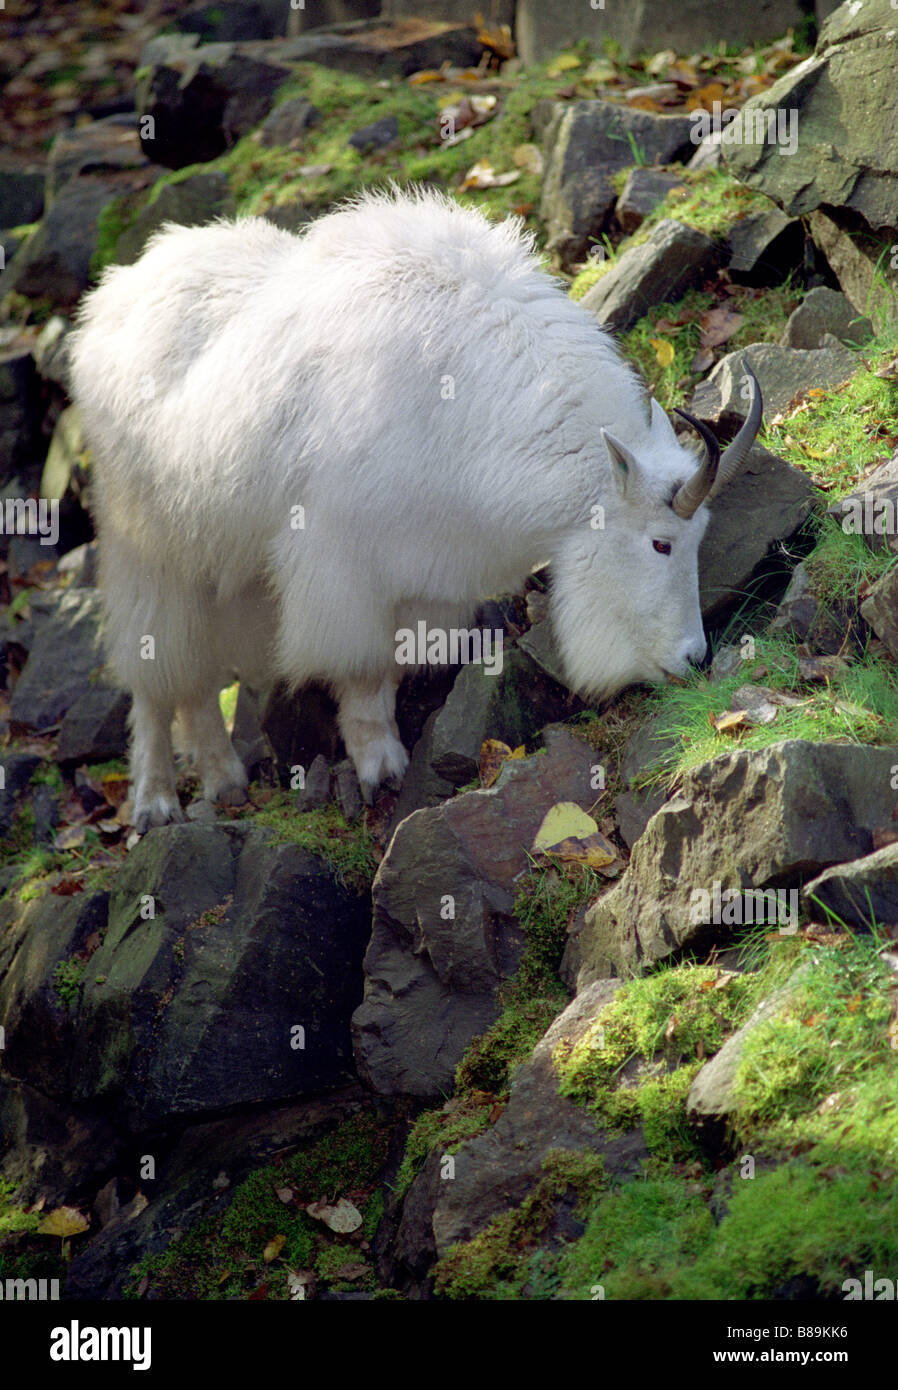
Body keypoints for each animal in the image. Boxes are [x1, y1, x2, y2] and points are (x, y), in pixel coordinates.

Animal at [70, 186, 761, 830]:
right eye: (660, 543)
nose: (693, 658)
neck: (465, 395)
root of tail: (109, 303)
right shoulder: (342, 563)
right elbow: (362, 667)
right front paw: (381, 766)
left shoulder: (427, 573)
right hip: (145, 546)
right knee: (155, 673)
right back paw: (156, 801)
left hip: (220, 560)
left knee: (198, 675)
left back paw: (223, 780)